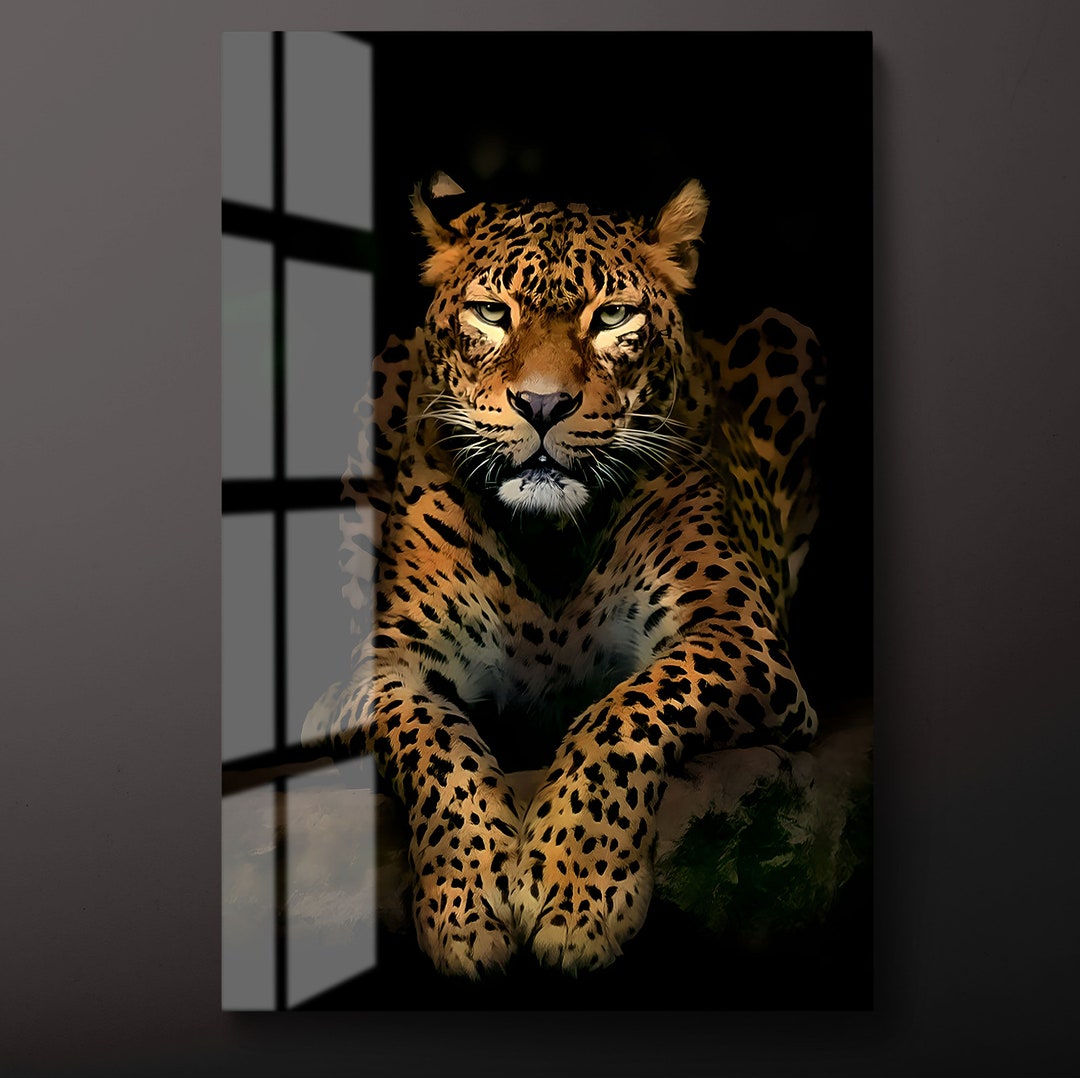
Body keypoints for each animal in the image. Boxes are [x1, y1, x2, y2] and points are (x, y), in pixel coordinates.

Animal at [301, 175, 827, 978]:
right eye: (493, 313)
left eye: (612, 316)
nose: (542, 405)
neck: (548, 542)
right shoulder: (381, 666)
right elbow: (437, 744)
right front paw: (467, 901)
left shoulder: (738, 633)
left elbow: (626, 710)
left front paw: (576, 892)